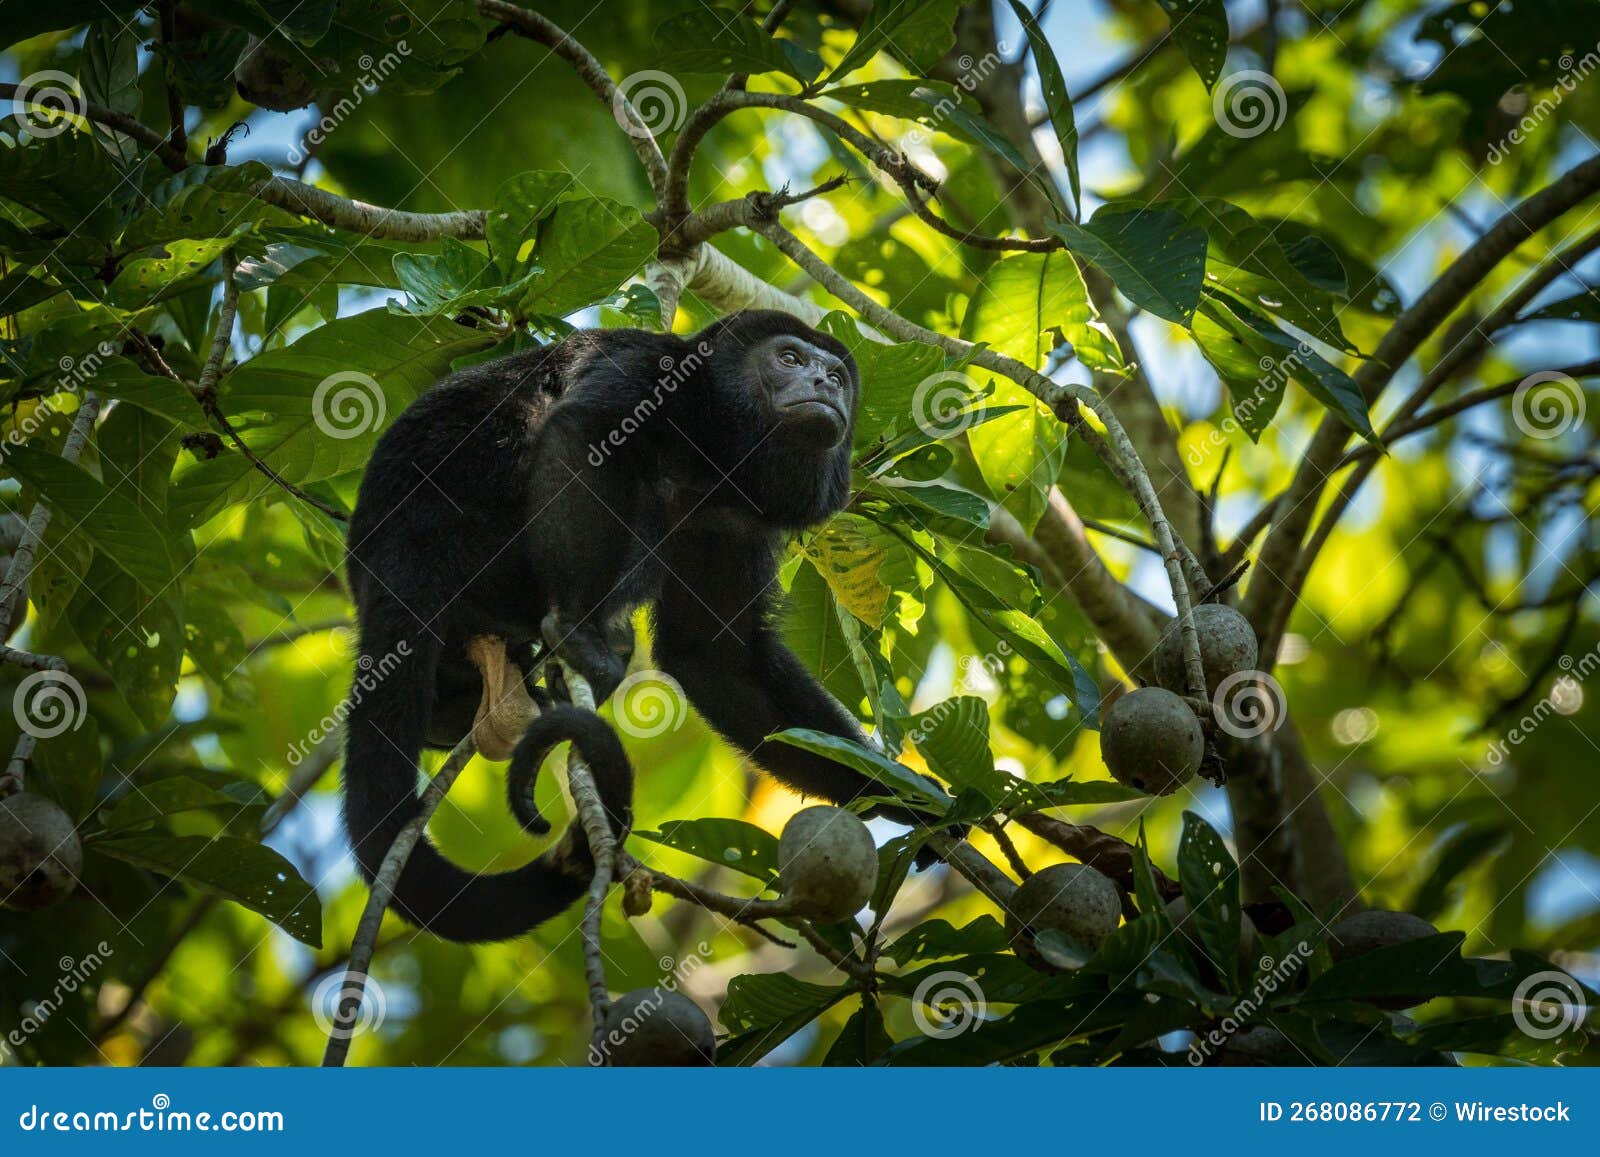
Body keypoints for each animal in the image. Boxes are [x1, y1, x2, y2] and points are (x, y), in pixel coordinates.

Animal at [342, 310, 940, 944]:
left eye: (838, 376)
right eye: (790, 359)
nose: (825, 384)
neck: (714, 452)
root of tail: (397, 560)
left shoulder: (733, 521)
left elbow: (716, 655)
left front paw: (912, 802)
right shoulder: (650, 369)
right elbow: (587, 431)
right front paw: (574, 628)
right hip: (473, 548)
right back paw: (585, 633)